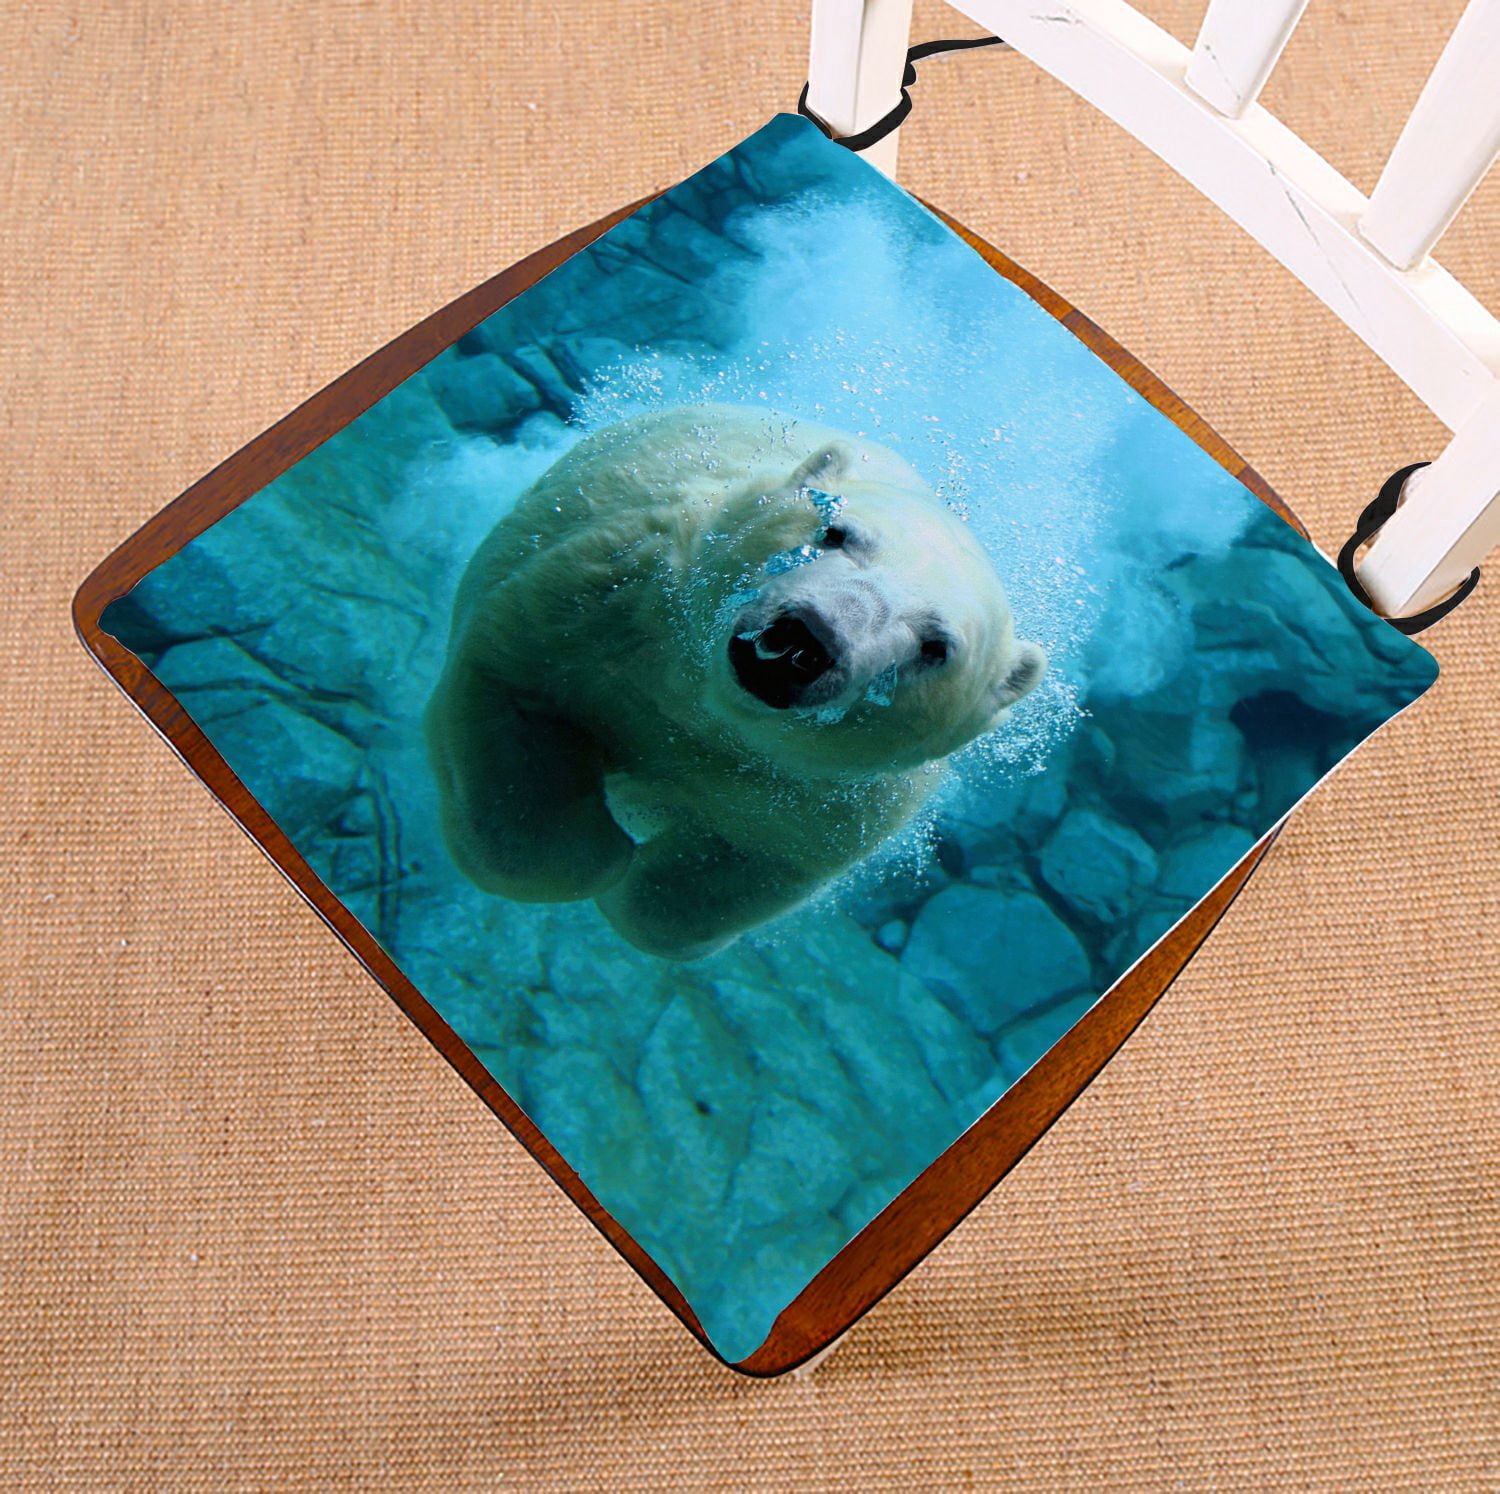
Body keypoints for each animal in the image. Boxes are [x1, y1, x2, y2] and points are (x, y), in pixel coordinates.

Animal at [424, 404, 1046, 960]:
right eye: (835, 531)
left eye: (936, 648)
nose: (809, 637)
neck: (705, 709)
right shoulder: (605, 597)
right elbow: (508, 685)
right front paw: (600, 851)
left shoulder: (825, 800)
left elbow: (739, 872)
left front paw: (633, 883)